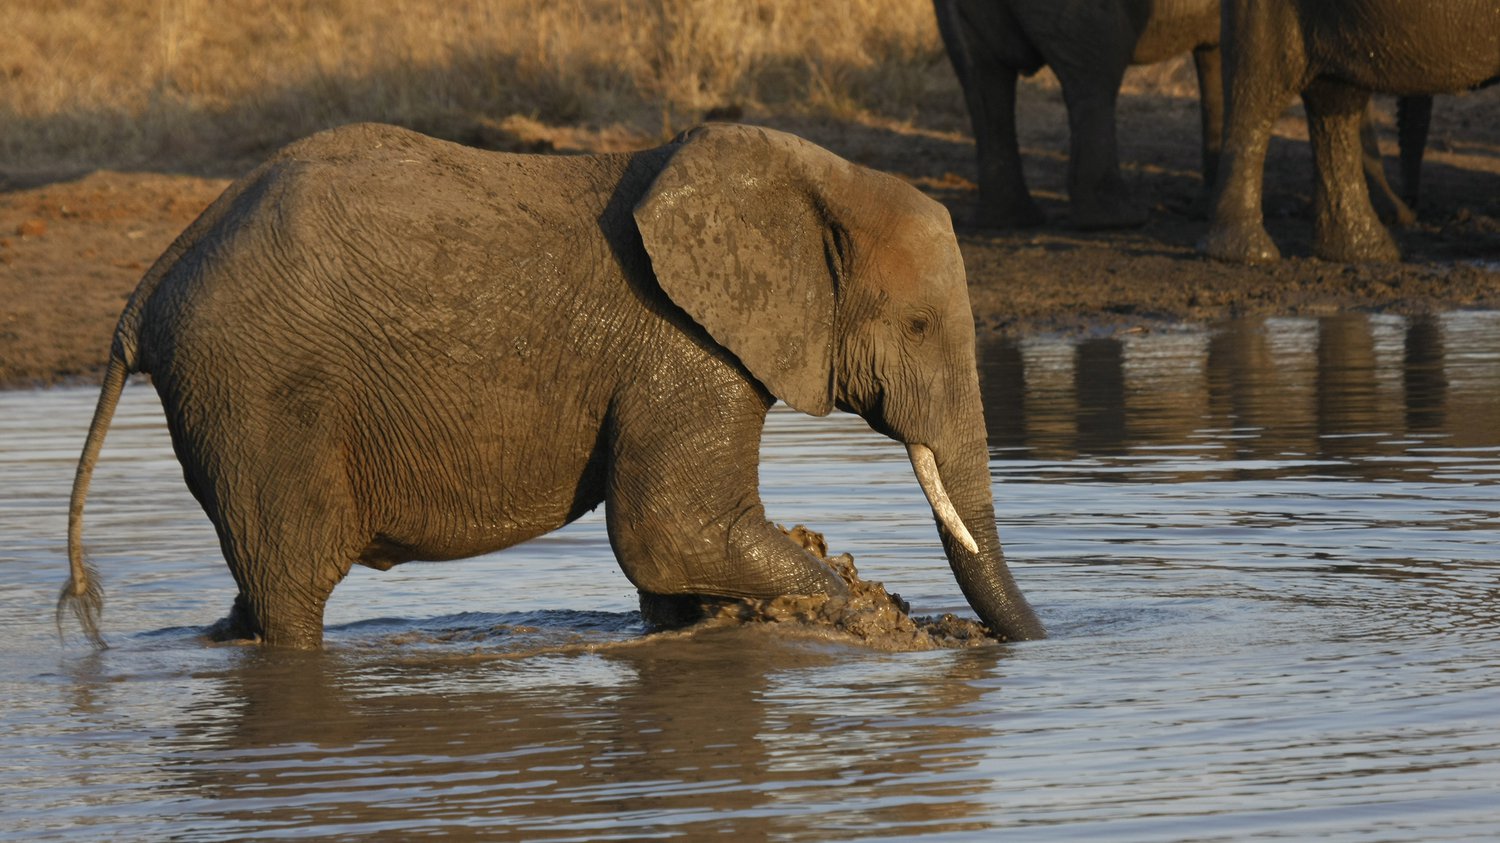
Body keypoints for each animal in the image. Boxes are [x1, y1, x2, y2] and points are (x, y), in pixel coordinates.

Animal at [57, 122, 1047, 649]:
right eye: (918, 327)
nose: (1027, 644)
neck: (805, 174)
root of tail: (154, 278)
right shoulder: (683, 346)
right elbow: (671, 527)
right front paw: (845, 607)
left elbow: (672, 553)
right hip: (256, 395)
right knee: (292, 591)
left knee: (252, 594)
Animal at [932, 0, 1223, 229]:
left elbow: (1215, 57)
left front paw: (1203, 210)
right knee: (1095, 75)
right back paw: (1114, 221)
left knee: (981, 80)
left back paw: (1007, 221)